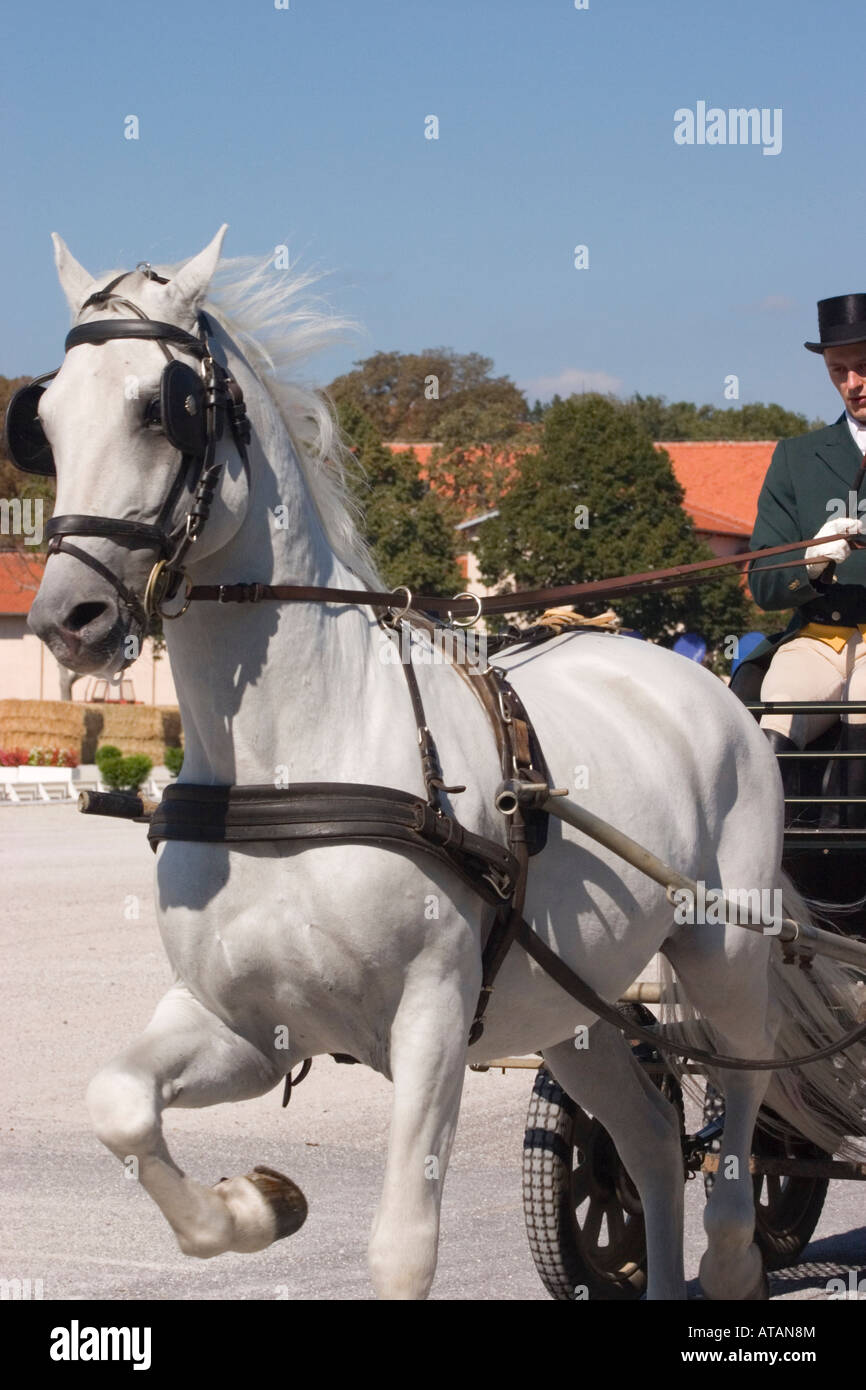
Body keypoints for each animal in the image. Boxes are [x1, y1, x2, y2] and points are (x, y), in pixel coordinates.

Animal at [24, 228, 866, 1300]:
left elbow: (402, 1246)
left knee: (740, 1115)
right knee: (645, 1137)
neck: (294, 761)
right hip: (575, 1002)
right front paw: (257, 1203)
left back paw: (730, 1253)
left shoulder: (431, 1017)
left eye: (159, 406)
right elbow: (120, 1103)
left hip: (725, 951)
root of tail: (693, 675)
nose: (69, 618)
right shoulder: (244, 1023)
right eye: (45, 418)